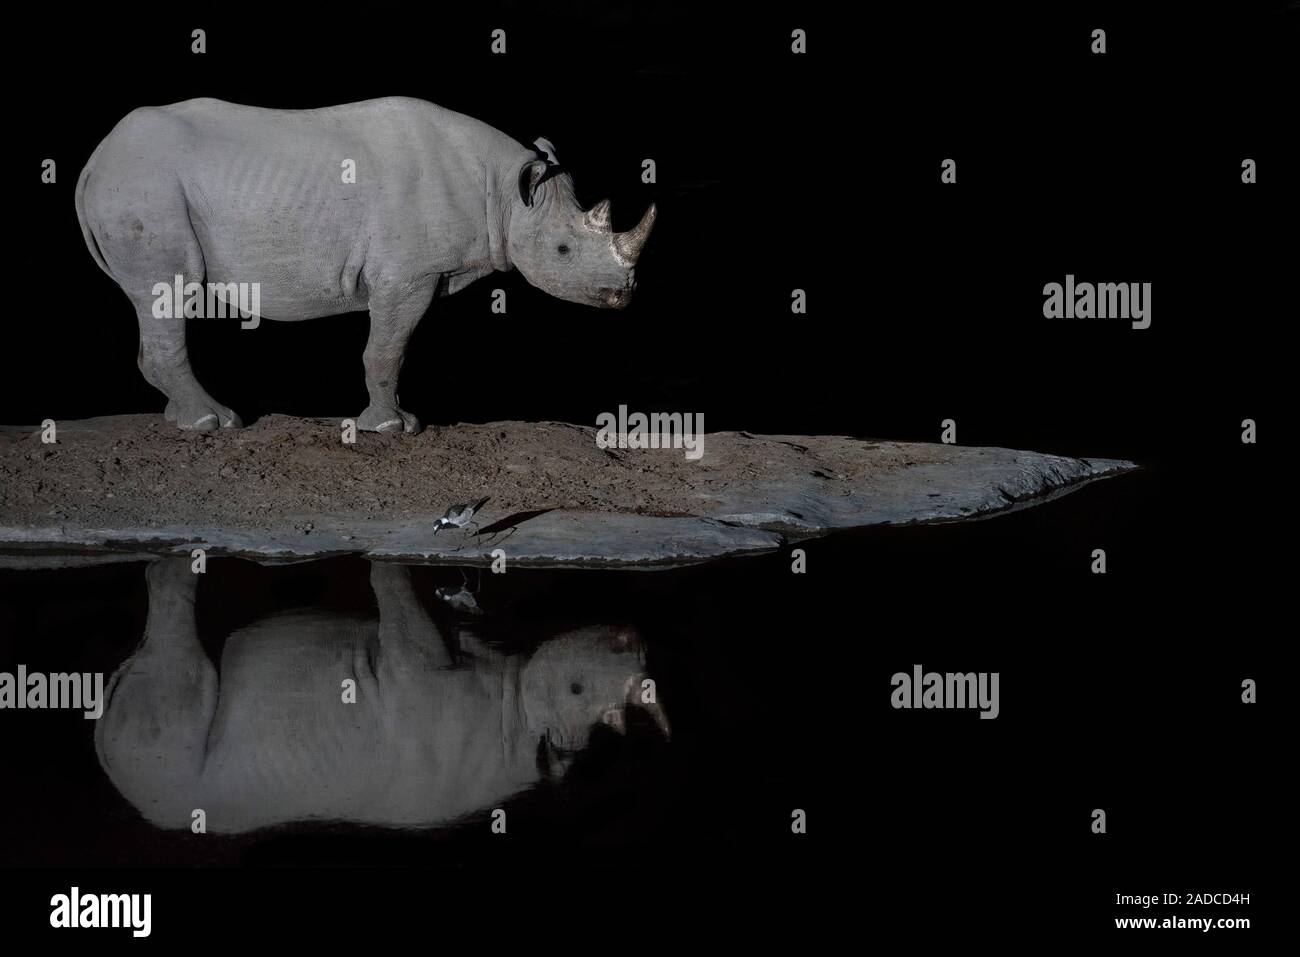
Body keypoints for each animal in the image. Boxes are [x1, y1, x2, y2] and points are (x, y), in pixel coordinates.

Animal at [74, 97, 656, 432]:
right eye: (562, 251)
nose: (623, 294)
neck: (505, 193)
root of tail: (96, 160)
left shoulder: (417, 274)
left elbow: (390, 352)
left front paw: (398, 418)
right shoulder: (407, 276)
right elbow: (386, 351)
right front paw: (392, 429)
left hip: (142, 186)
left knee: (158, 299)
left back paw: (183, 419)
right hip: (146, 188)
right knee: (171, 287)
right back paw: (212, 423)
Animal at [94, 559, 669, 833]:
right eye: (577, 687)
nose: (631, 634)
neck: (518, 716)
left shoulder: (418, 670)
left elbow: (398, 603)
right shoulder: (437, 657)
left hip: (162, 763)